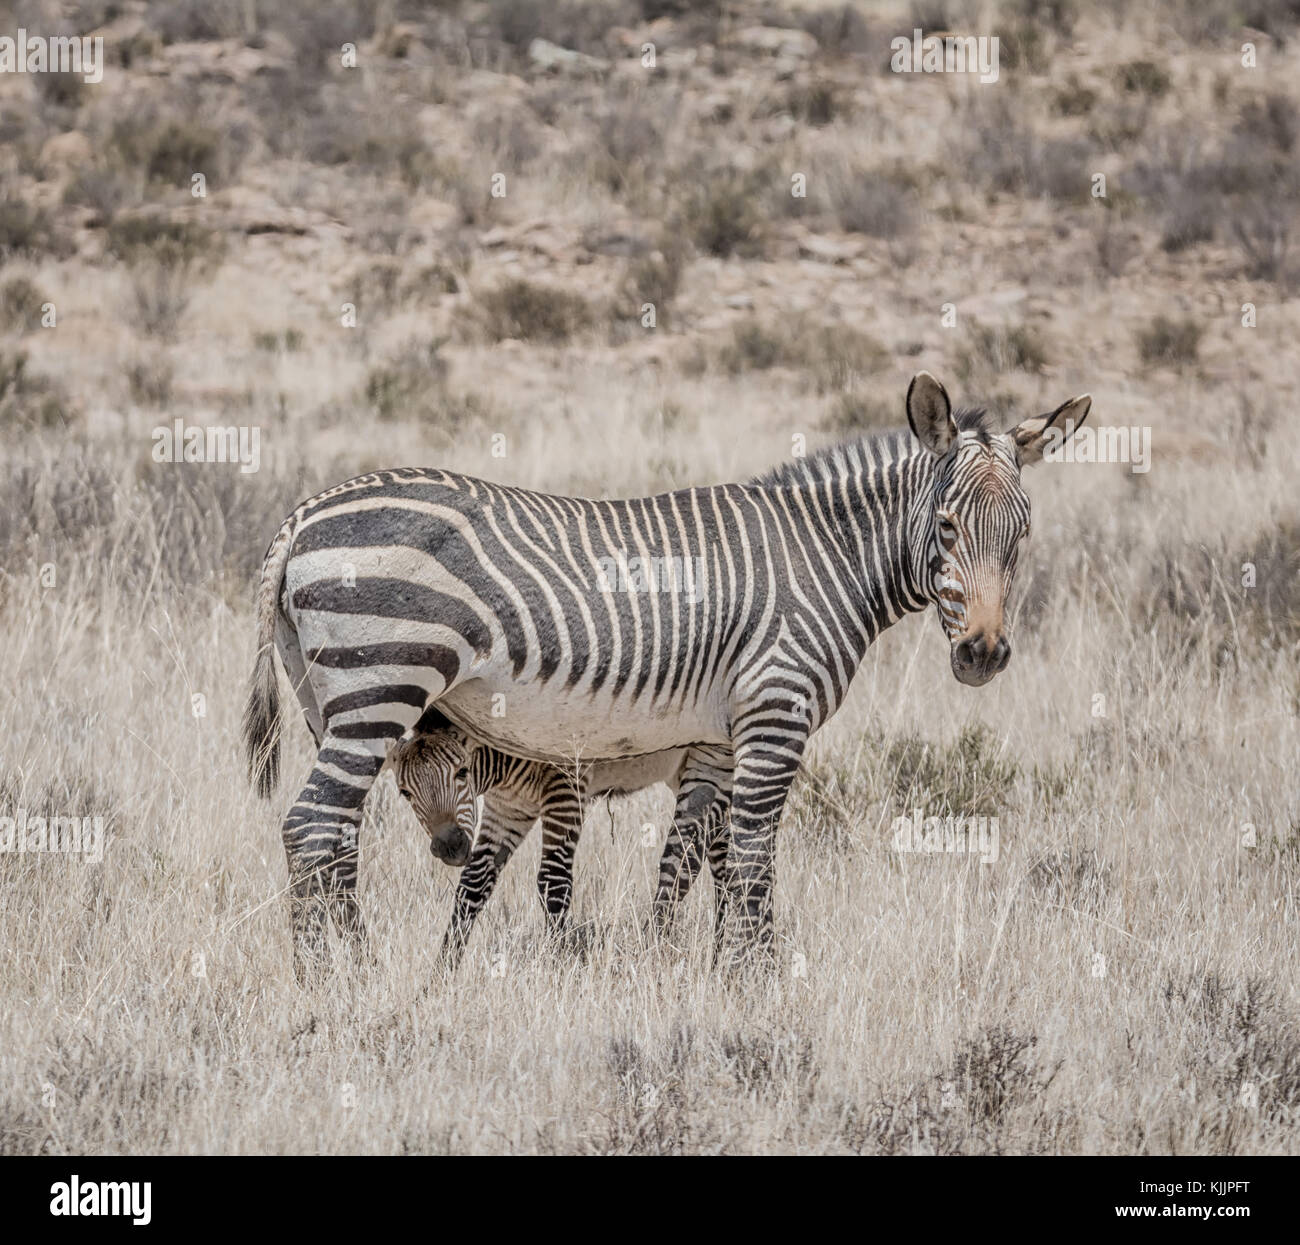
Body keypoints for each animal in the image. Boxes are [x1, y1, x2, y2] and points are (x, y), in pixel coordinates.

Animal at [387, 708, 732, 965]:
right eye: (405, 793)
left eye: (462, 772)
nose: (451, 847)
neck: (501, 765)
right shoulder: (509, 806)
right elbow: (473, 885)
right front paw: (441, 975)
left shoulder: (566, 786)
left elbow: (553, 881)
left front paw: (558, 964)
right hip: (686, 768)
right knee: (720, 854)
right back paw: (722, 950)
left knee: (697, 858)